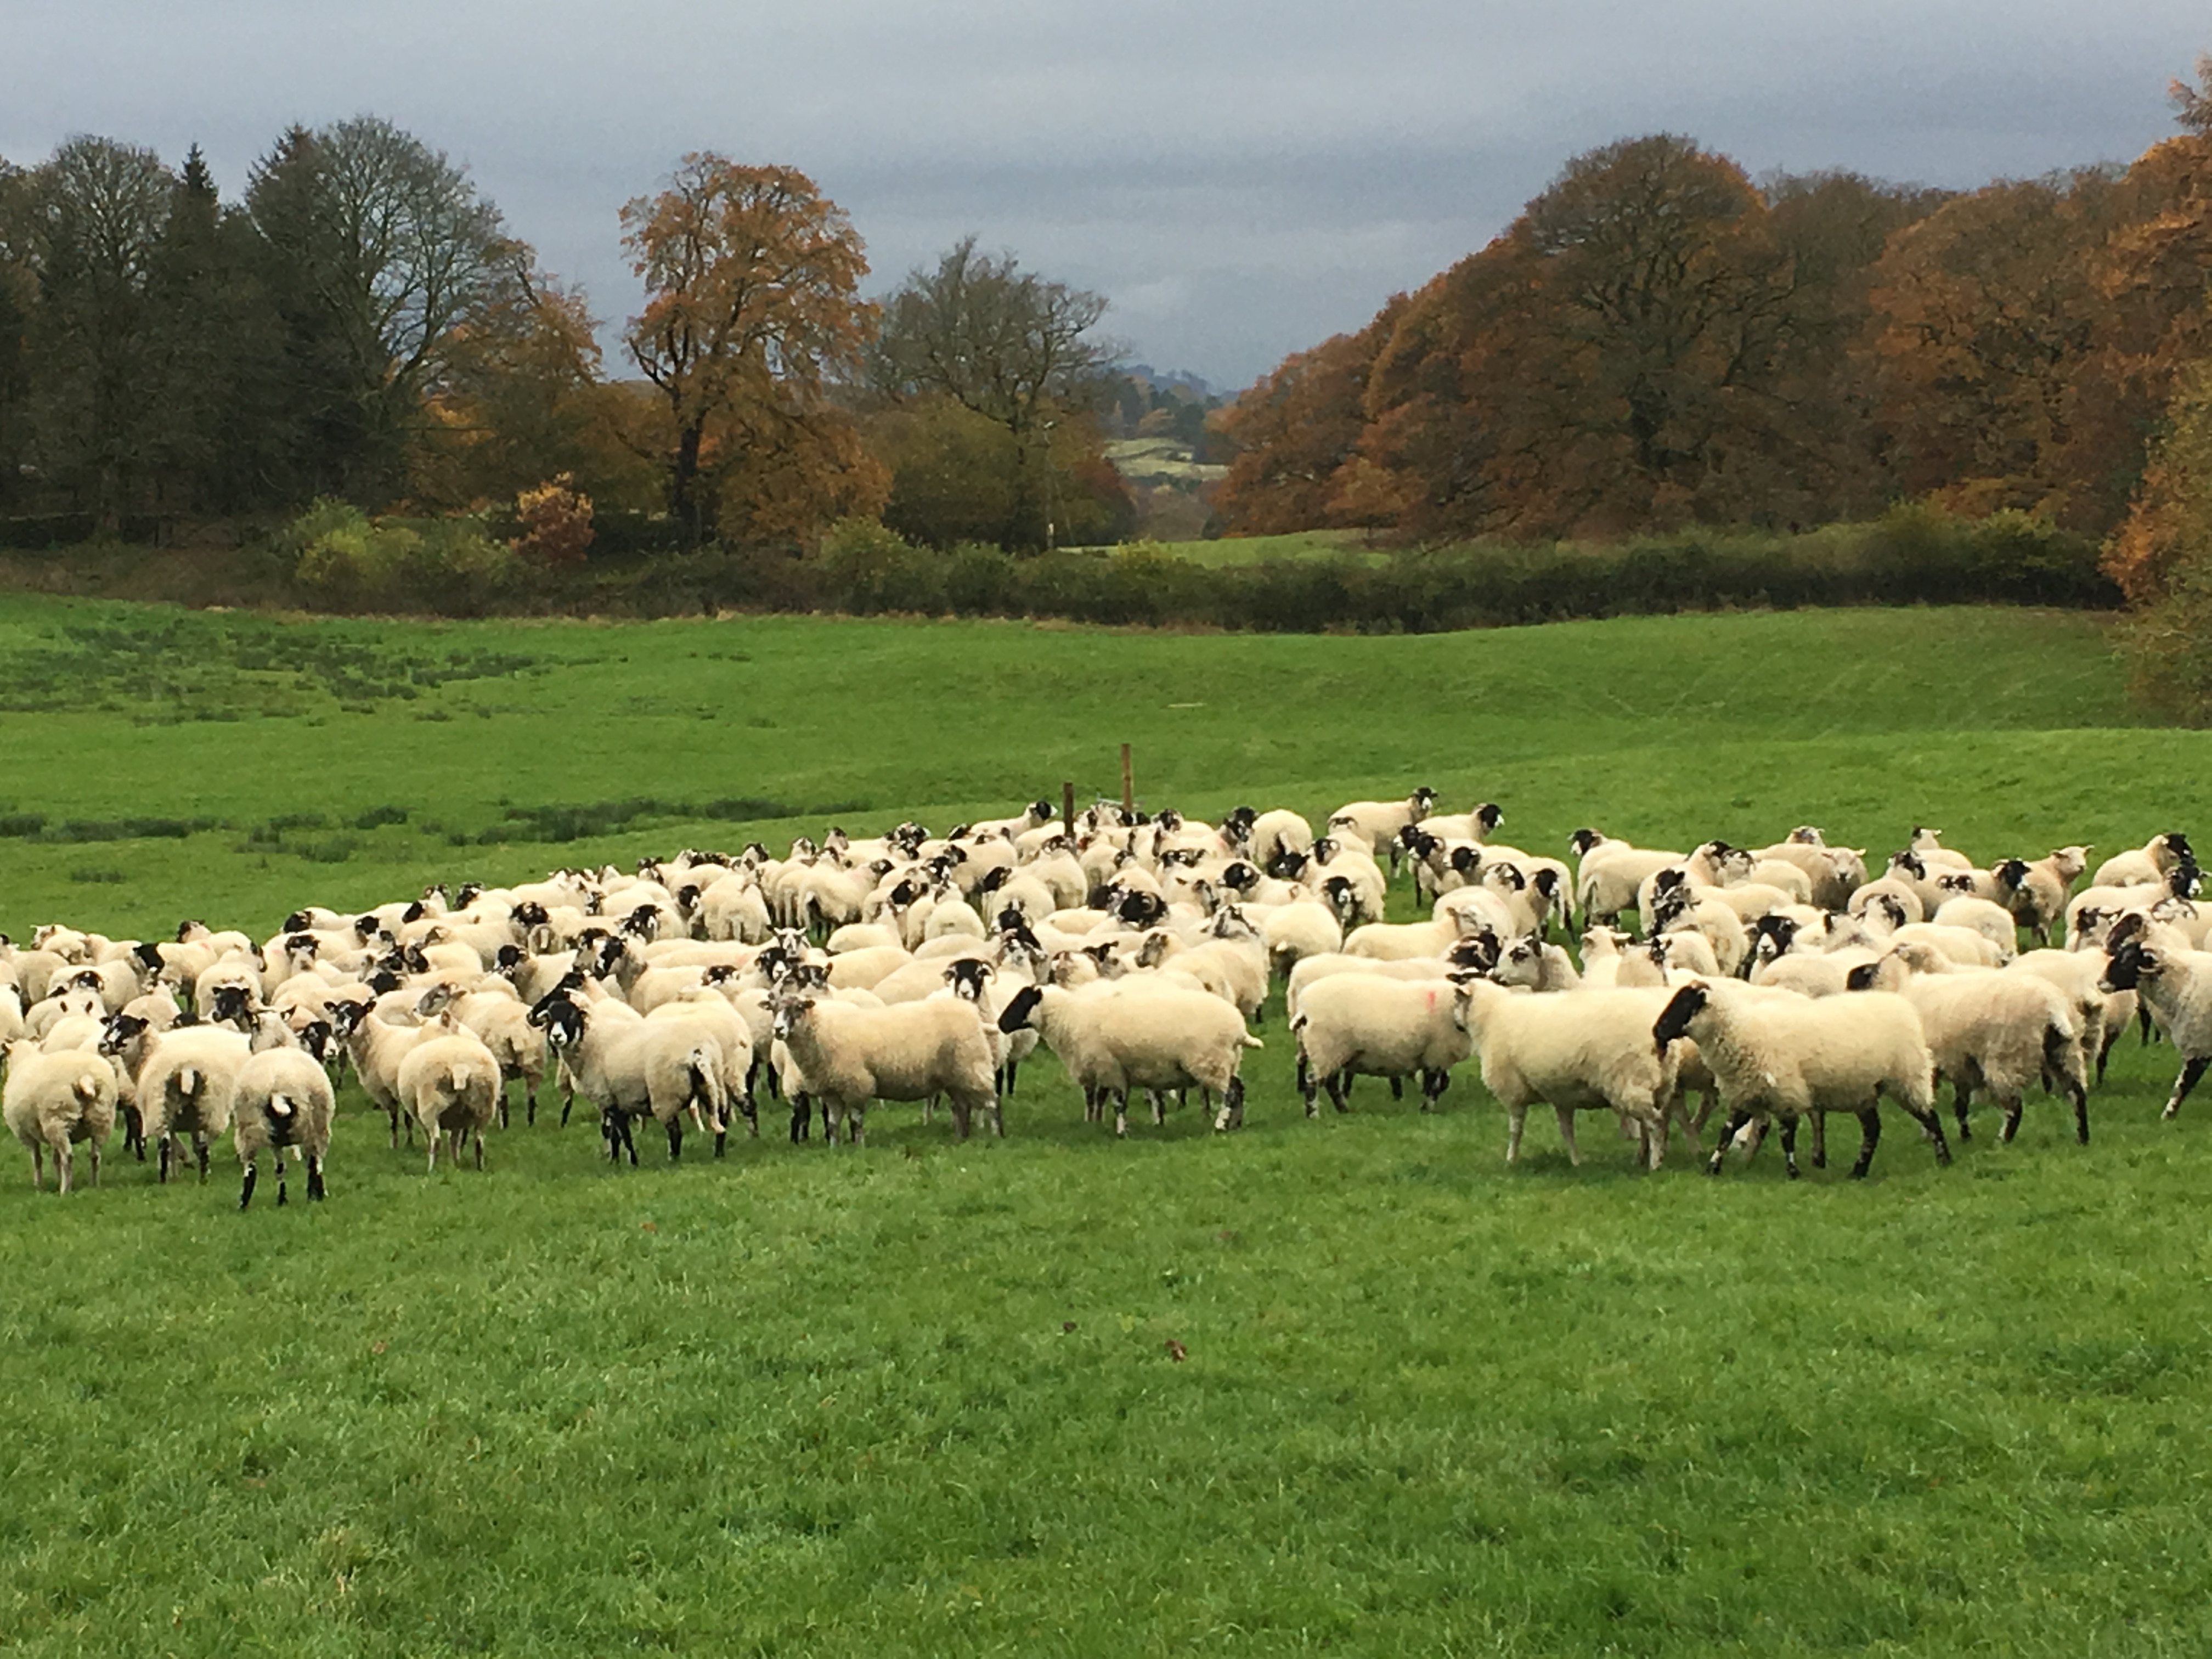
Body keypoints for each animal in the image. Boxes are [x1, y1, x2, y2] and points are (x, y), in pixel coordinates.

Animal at [2, 1041, 117, 1194]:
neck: (23, 1059)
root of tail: (85, 1077)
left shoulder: (25, 1134)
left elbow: (37, 1159)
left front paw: (38, 1185)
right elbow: (55, 1158)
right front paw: (57, 1179)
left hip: (57, 1118)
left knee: (68, 1156)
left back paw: (65, 1190)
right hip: (102, 1117)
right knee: (95, 1156)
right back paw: (94, 1185)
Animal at [232, 1026, 336, 1207]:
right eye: (315, 1034)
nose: (332, 1051)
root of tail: (277, 1084)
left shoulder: (277, 1141)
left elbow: (280, 1168)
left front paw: (283, 1199)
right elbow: (316, 1165)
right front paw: (320, 1193)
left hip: (249, 1127)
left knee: (251, 1169)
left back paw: (245, 1204)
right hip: (314, 1125)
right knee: (313, 1164)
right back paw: (313, 1197)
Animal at [998, 981, 1259, 1136]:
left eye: (1023, 1000)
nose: (1001, 1024)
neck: (1071, 1019)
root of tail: (1239, 1029)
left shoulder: (1111, 1069)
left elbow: (1118, 1103)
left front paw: (1121, 1132)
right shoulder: (1108, 1071)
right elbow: (1100, 1101)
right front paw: (1096, 1124)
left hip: (1211, 1062)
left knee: (1230, 1094)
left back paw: (1220, 1125)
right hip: (1229, 1061)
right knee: (1239, 1088)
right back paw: (1236, 1123)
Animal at [1651, 979, 1947, 1180]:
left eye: (1685, 1004)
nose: (1658, 1030)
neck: (1743, 1031)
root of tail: (1902, 1005)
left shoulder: (1787, 1092)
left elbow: (1786, 1135)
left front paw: (1793, 1172)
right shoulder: (1746, 1093)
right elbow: (1726, 1133)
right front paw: (1713, 1167)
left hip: (1907, 1077)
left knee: (1930, 1116)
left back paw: (1944, 1158)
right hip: (1864, 1090)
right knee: (1873, 1130)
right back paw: (1858, 1171)